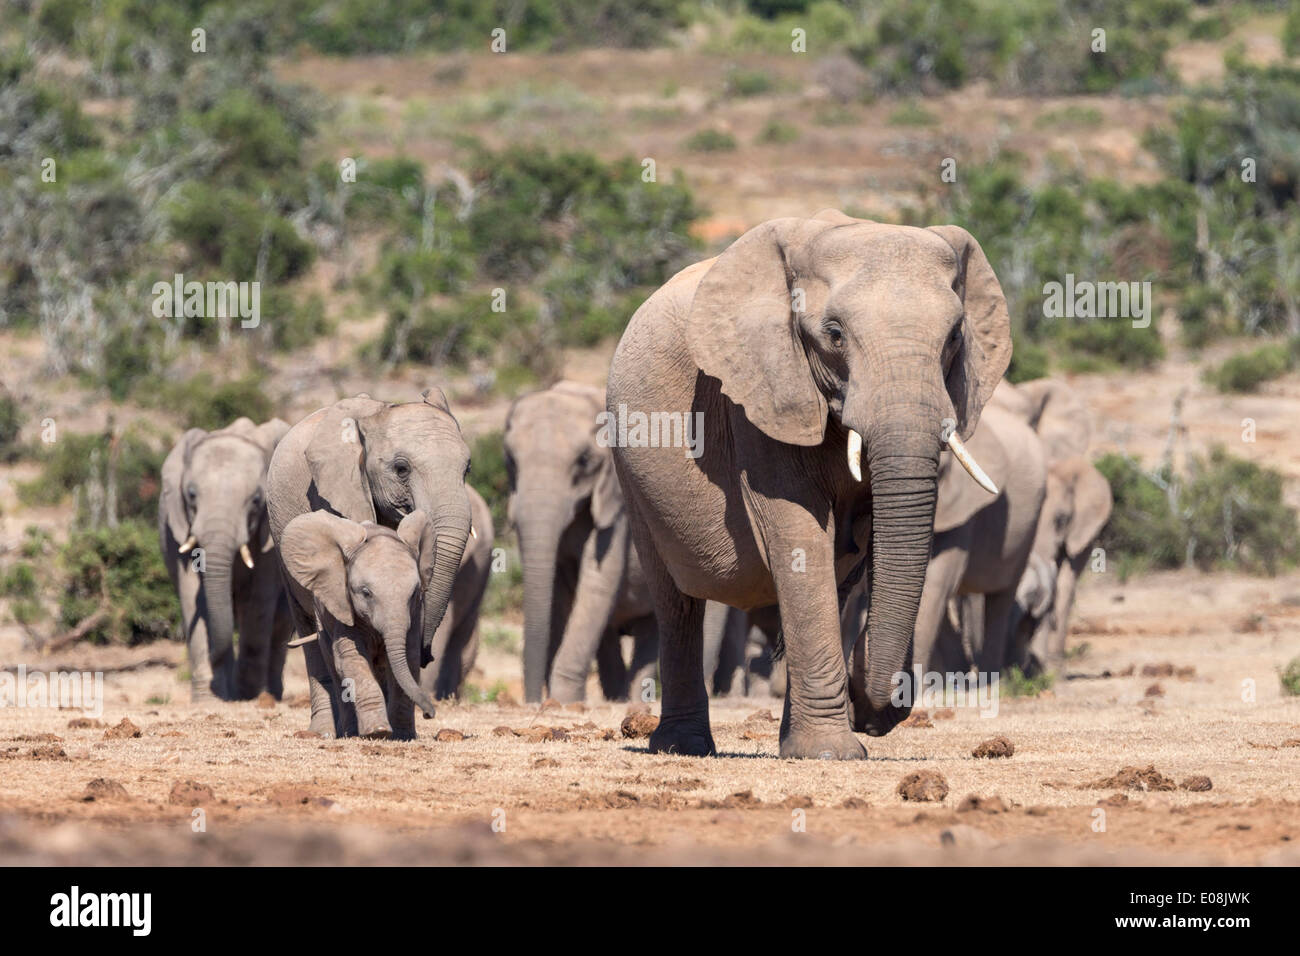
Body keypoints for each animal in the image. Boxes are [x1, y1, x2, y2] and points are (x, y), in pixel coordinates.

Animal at [158, 416, 294, 703]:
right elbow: (193, 596)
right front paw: (208, 700)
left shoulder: (268, 531)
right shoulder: (179, 527)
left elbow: (260, 601)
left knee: (279, 622)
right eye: (191, 494)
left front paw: (247, 696)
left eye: (256, 500)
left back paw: (270, 695)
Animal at [279, 510, 438, 740]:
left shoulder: (415, 613)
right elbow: (352, 659)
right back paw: (351, 732)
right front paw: (378, 732)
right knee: (335, 667)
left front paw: (402, 736)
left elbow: (409, 656)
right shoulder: (342, 606)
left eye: (414, 593)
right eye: (366, 593)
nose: (429, 714)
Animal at [504, 381, 657, 703]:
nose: (533, 701)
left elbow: (598, 580)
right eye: (510, 460)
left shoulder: (619, 502)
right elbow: (557, 589)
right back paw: (616, 698)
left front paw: (563, 701)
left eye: (585, 461)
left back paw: (631, 701)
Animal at [606, 210, 1012, 758]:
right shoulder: (761, 394)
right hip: (630, 468)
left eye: (953, 337)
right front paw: (832, 752)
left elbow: (862, 547)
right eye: (835, 334)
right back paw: (682, 747)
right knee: (676, 599)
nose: (872, 712)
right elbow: (798, 532)